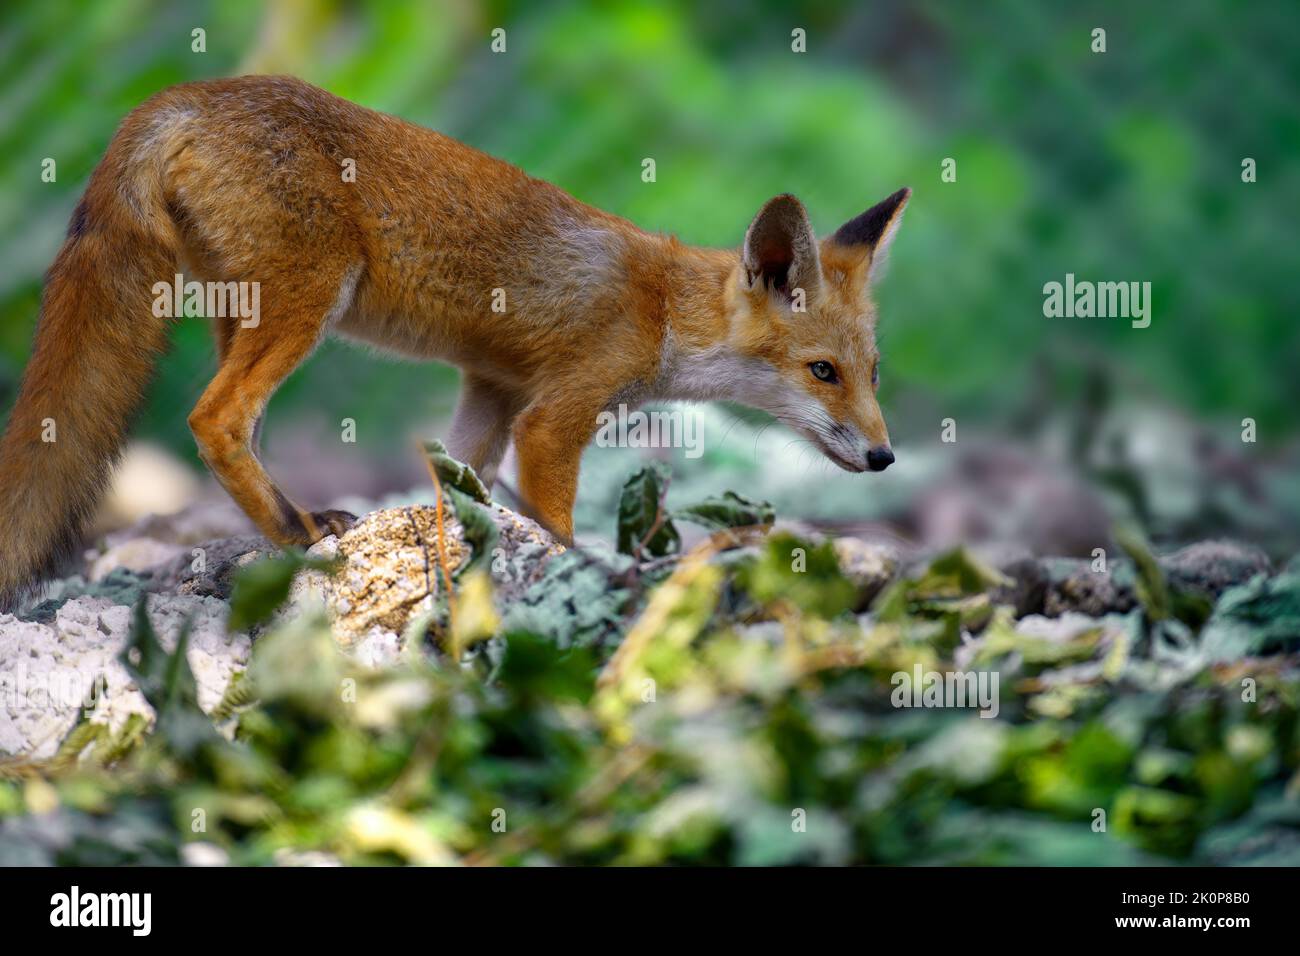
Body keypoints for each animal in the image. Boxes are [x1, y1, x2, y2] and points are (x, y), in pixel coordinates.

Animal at [0, 75, 909, 612]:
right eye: (822, 372)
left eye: (870, 372)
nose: (884, 458)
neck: (659, 310)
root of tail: (187, 93)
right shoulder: (554, 416)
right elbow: (552, 522)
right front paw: (573, 576)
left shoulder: (491, 393)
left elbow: (459, 490)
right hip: (304, 305)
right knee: (215, 419)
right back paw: (298, 534)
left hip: (243, 313)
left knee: (240, 427)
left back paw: (289, 527)